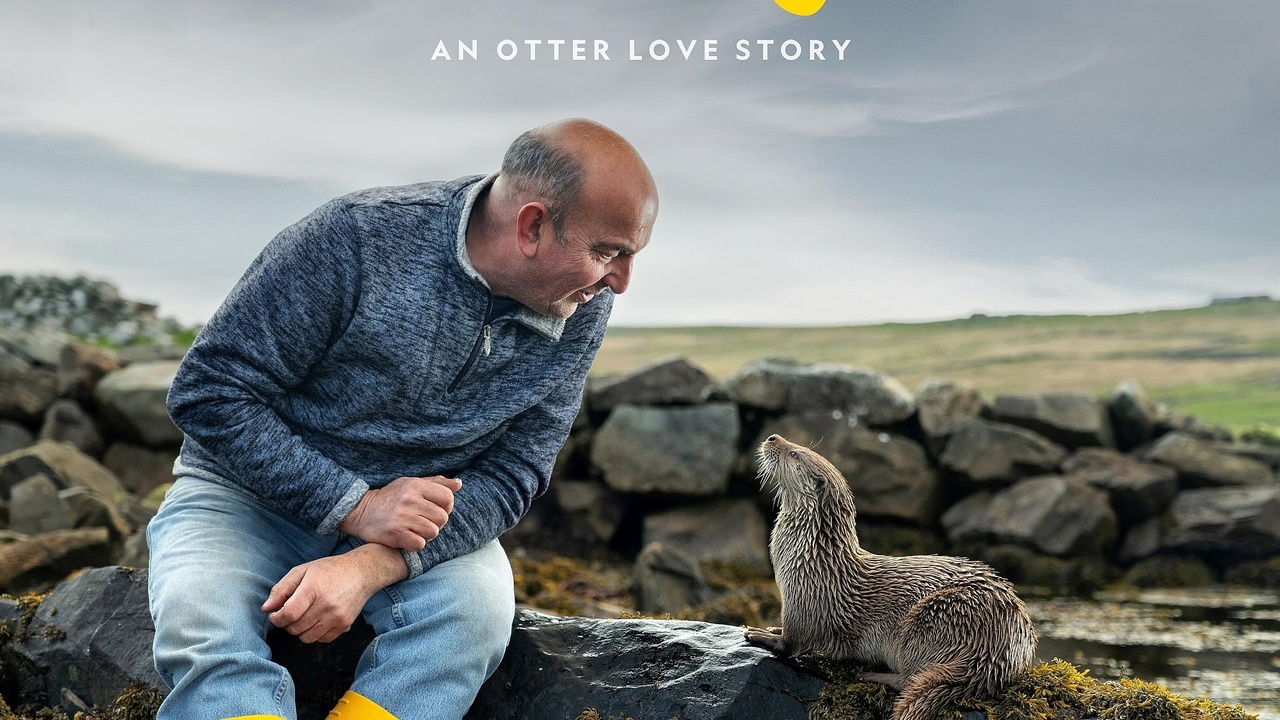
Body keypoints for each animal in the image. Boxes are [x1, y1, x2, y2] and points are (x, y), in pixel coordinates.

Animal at [745, 434, 1037, 720]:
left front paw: (762, 635)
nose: (773, 437)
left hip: (933, 620)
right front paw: (772, 628)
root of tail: (996, 653)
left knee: (911, 677)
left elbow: (792, 642)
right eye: (796, 445)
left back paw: (871, 675)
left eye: (794, 453)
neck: (813, 556)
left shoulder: (806, 599)